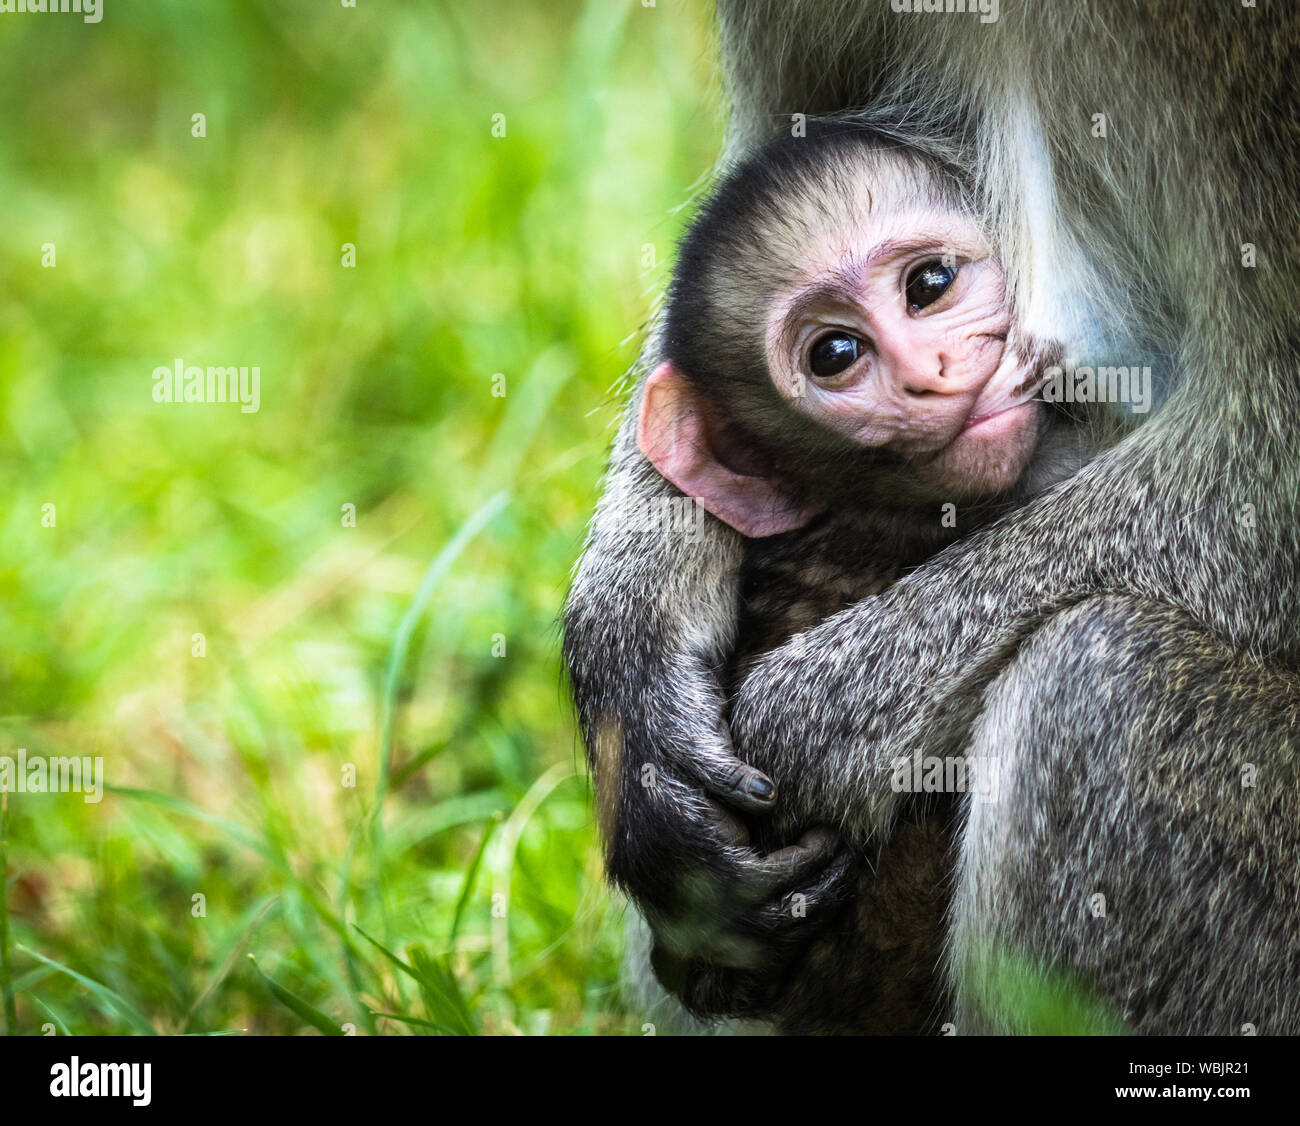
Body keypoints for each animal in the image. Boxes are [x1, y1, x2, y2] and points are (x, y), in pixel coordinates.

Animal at [564, 0, 1300, 1035]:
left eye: (930, 286)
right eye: (836, 354)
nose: (935, 375)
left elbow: (1266, 463)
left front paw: (804, 729)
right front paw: (629, 649)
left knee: (1101, 676)